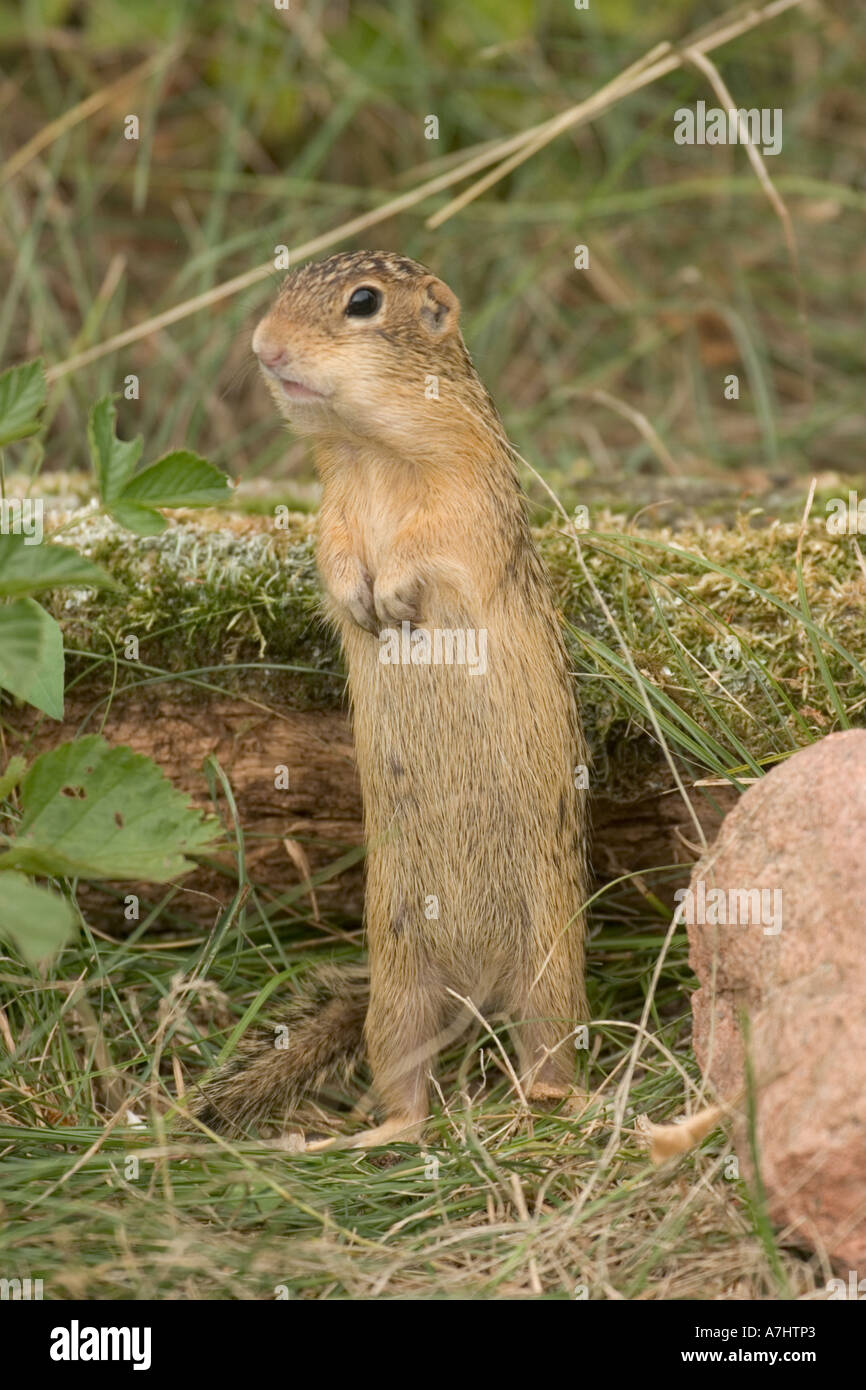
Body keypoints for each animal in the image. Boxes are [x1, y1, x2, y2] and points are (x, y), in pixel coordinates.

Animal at [186, 251, 589, 1148]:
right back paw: (377, 1134)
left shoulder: (465, 503)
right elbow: (336, 559)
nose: (263, 346)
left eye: (362, 303)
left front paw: (396, 593)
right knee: (403, 1079)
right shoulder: (330, 515)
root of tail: (478, 987)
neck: (370, 453)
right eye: (282, 287)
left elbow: (430, 545)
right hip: (399, 990)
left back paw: (554, 1104)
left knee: (550, 1048)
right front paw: (363, 603)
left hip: (551, 970)